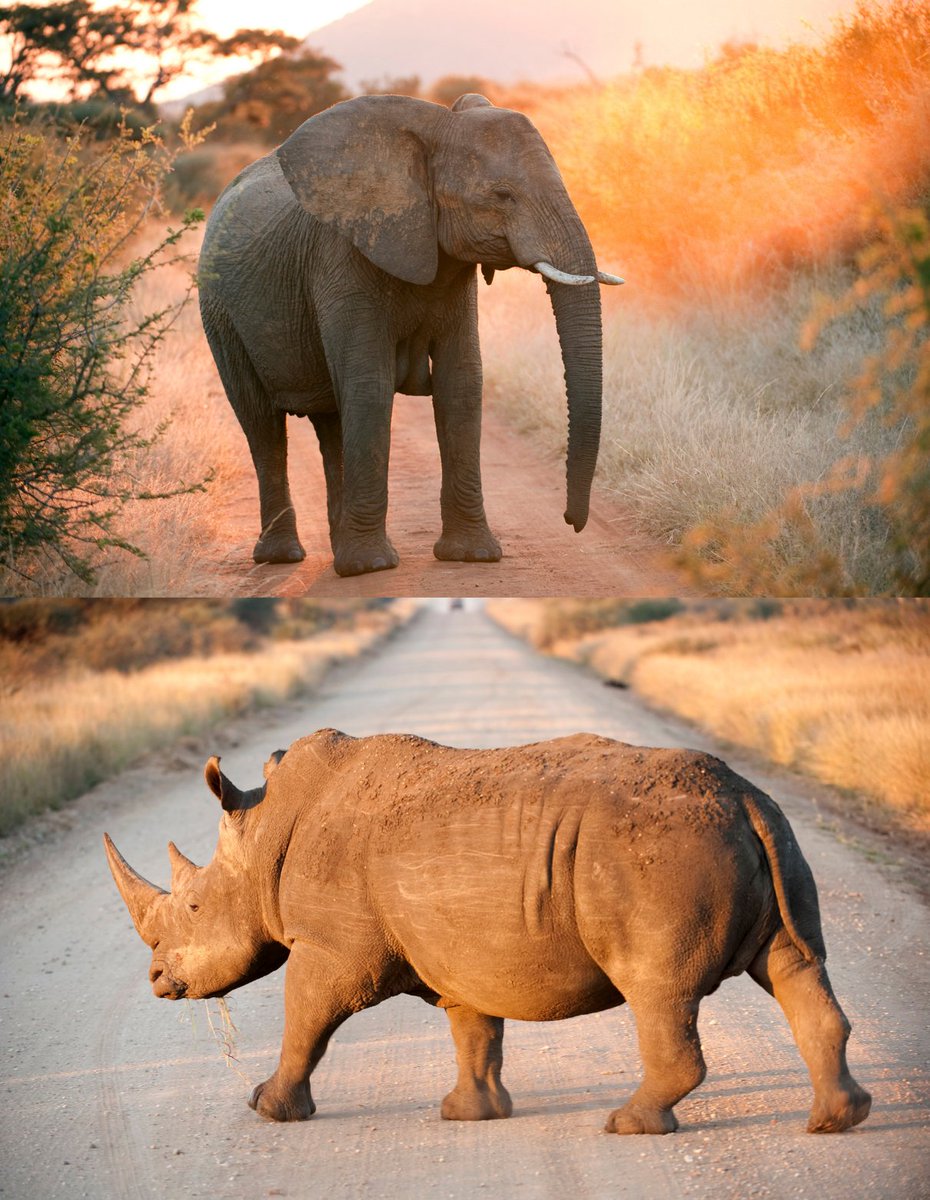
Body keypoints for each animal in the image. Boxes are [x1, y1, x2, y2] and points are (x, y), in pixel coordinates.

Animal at [104, 729, 871, 1135]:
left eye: (194, 908)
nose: (155, 980)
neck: (265, 836)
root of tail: (745, 797)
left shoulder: (333, 950)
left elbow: (306, 1019)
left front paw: (267, 1108)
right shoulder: (457, 952)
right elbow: (474, 1031)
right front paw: (469, 1114)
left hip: (658, 859)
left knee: (657, 990)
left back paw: (627, 1125)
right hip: (770, 837)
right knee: (796, 966)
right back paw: (839, 1120)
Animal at [198, 93, 622, 577]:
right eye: (502, 196)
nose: (571, 521)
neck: (431, 133)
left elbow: (462, 383)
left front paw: (473, 556)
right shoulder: (342, 259)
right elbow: (369, 386)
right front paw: (373, 567)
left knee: (332, 423)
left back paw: (339, 551)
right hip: (220, 314)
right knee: (262, 424)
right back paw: (288, 557)